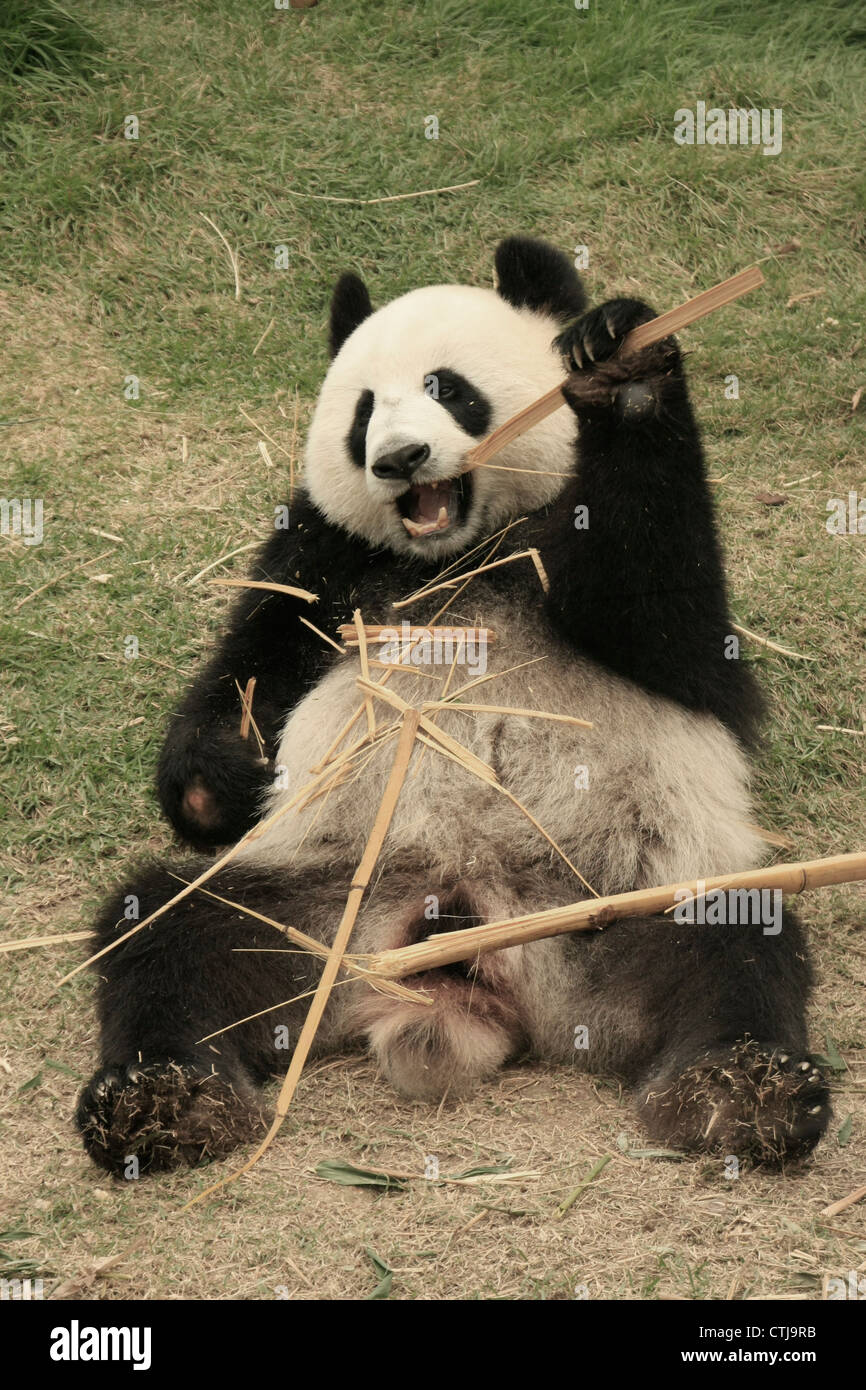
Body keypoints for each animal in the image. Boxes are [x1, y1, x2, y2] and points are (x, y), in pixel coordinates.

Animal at [76, 236, 829, 1173]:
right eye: (364, 411)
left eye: (446, 388)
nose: (398, 459)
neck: (462, 551)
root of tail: (463, 965)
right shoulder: (323, 553)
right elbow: (255, 657)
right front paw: (221, 780)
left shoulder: (619, 583)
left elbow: (665, 620)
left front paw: (621, 365)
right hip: (319, 911)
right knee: (168, 929)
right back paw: (163, 1097)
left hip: (627, 901)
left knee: (736, 941)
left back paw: (740, 1092)